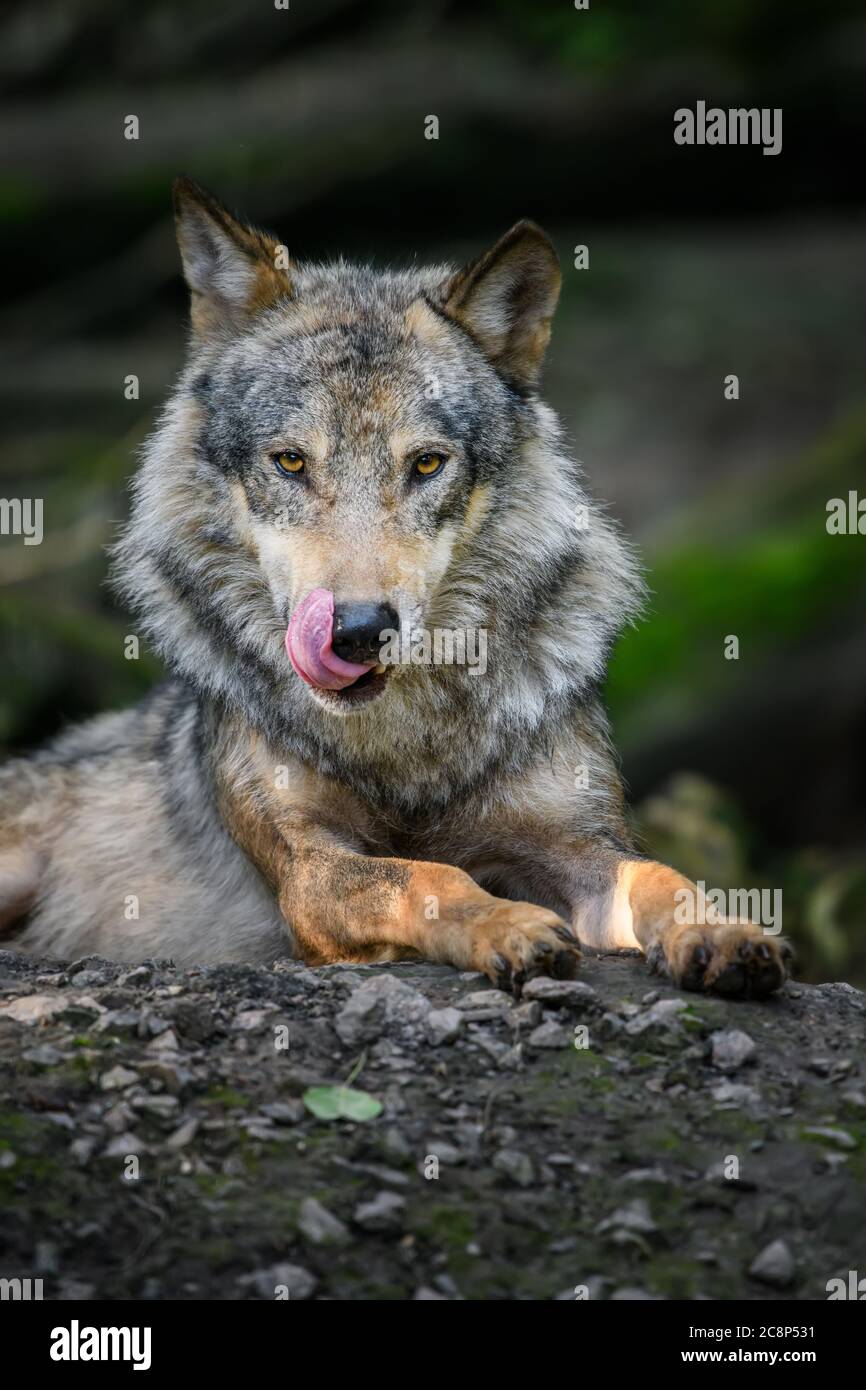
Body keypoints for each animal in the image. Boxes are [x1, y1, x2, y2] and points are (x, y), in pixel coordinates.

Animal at [0, 179, 791, 998]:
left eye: (426, 465)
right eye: (290, 462)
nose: (356, 630)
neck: (401, 743)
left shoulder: (573, 841)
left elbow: (659, 875)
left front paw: (723, 931)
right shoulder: (310, 870)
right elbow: (425, 875)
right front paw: (506, 926)